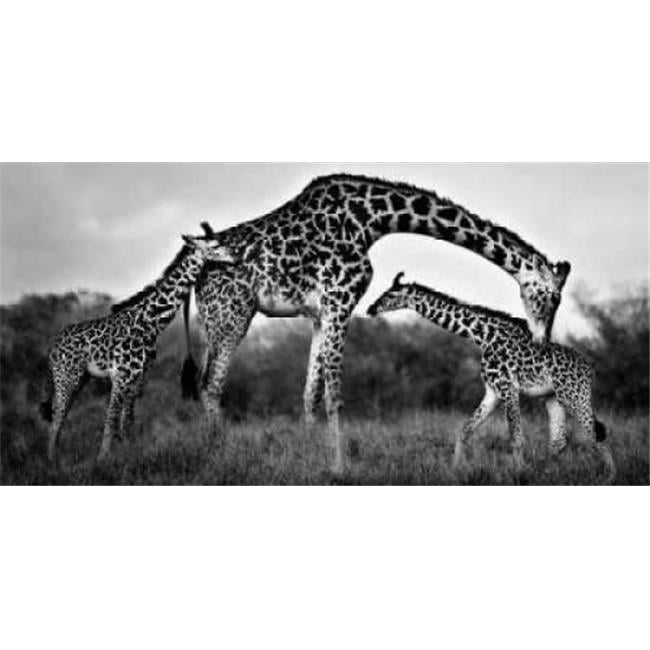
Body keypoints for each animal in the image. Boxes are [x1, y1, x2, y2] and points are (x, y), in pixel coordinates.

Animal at [40, 231, 237, 464]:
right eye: (215, 245)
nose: (235, 257)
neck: (150, 322)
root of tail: (53, 346)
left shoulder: (138, 376)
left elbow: (128, 422)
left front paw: (128, 454)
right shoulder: (120, 375)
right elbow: (111, 420)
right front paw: (103, 460)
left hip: (80, 377)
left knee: (59, 414)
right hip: (67, 375)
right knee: (57, 417)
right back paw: (51, 460)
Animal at [184, 174, 572, 473]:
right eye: (552, 297)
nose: (540, 341)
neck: (373, 219)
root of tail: (196, 272)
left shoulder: (321, 312)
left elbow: (310, 393)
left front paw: (310, 460)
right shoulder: (340, 300)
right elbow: (335, 393)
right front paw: (339, 467)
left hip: (216, 319)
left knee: (206, 381)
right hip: (232, 315)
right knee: (211, 383)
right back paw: (216, 457)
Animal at [367, 273, 616, 483]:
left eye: (390, 295)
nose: (371, 308)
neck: (483, 337)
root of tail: (589, 367)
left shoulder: (508, 388)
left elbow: (515, 437)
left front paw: (519, 474)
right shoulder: (492, 392)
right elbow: (464, 430)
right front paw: (454, 471)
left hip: (573, 395)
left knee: (594, 434)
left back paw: (609, 477)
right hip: (553, 398)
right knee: (559, 441)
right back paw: (546, 473)